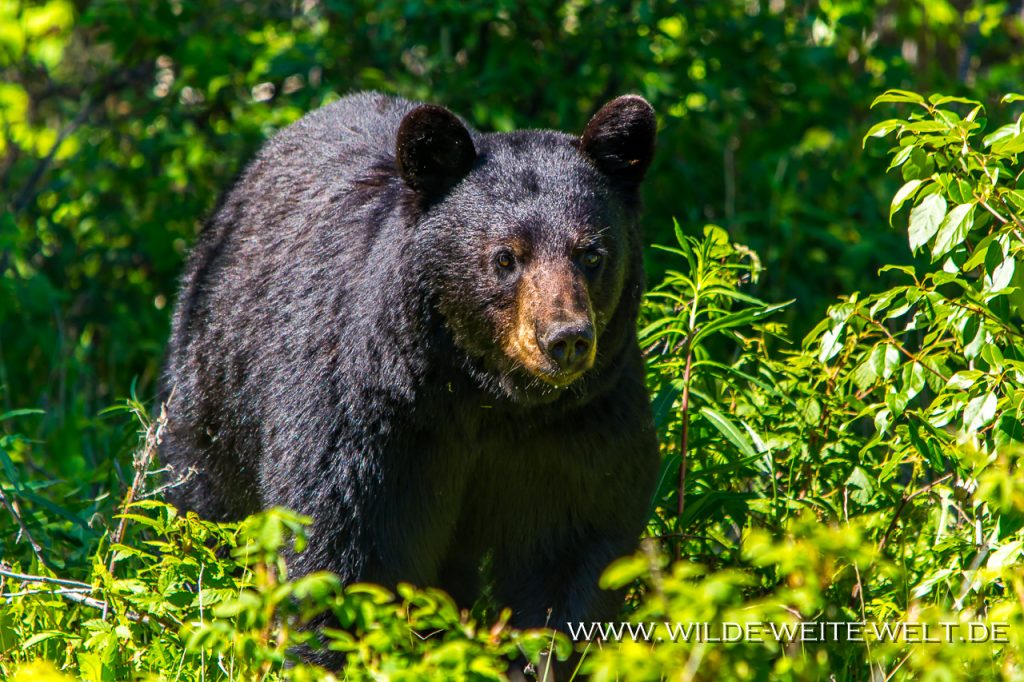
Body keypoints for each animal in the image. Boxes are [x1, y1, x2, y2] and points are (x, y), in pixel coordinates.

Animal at [159, 91, 660, 668]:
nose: (566, 338)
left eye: (591, 253)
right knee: (202, 496)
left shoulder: (582, 426)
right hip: (216, 378)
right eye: (505, 257)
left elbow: (568, 553)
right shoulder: (373, 414)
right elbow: (346, 548)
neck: (489, 398)